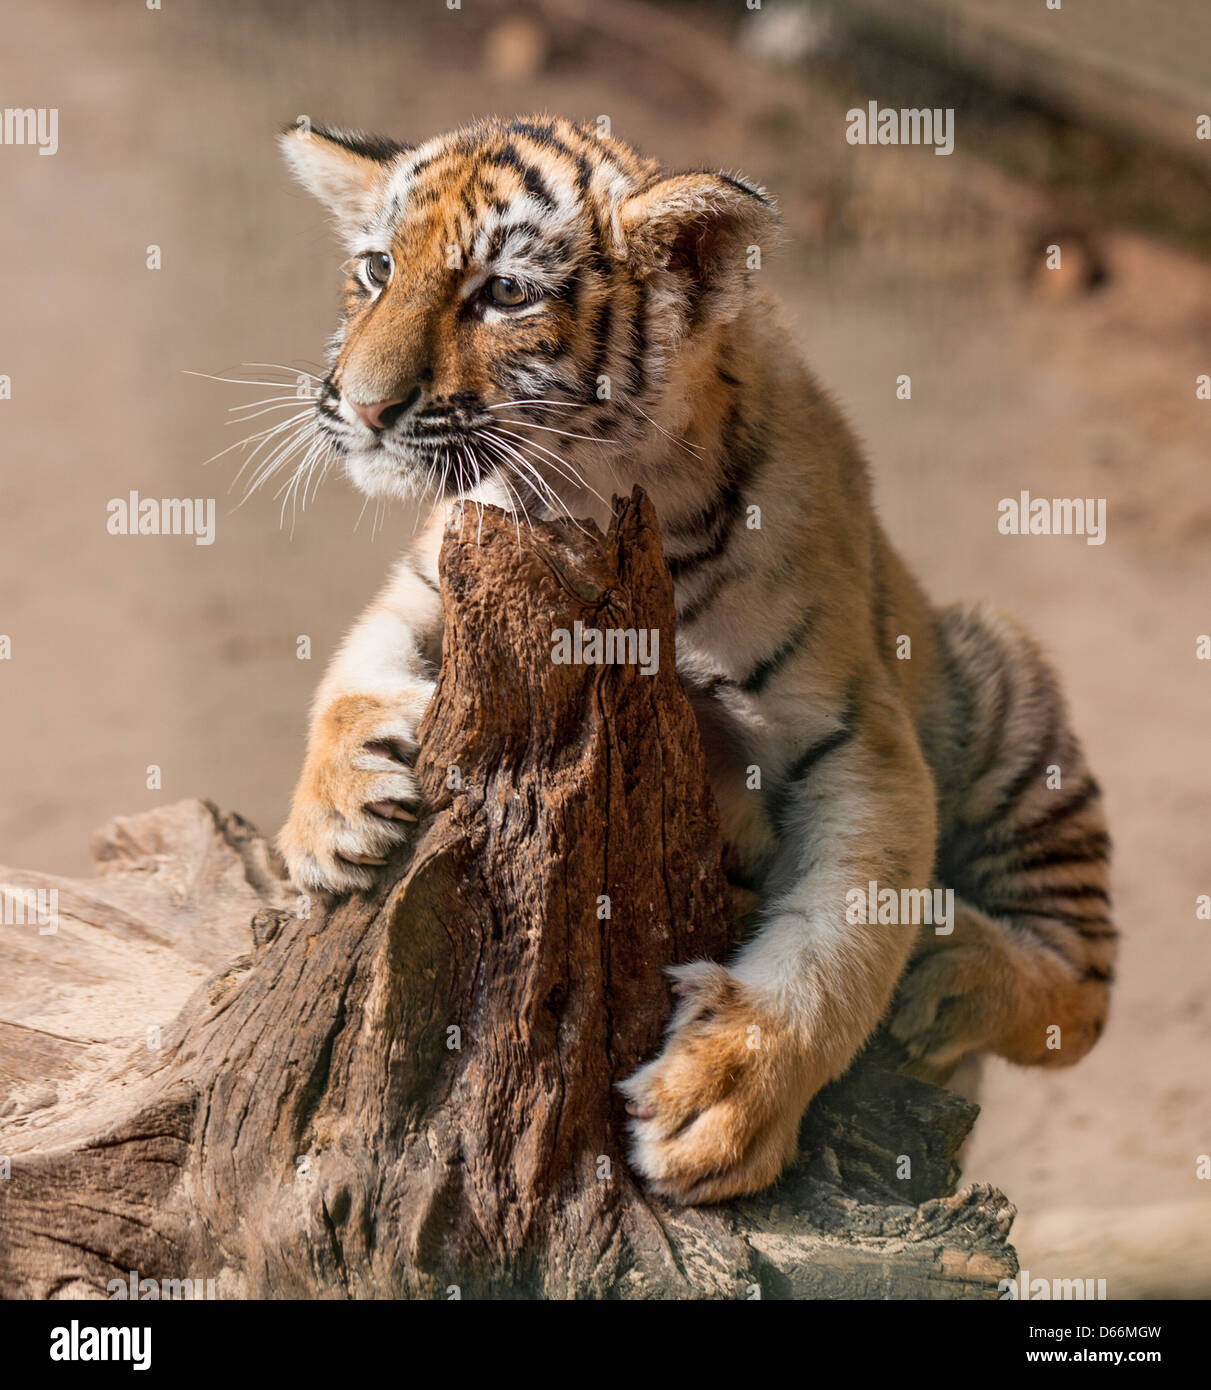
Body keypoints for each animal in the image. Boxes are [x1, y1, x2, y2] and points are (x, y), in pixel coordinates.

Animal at [274, 115, 1115, 1205]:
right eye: (376, 269)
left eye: (504, 294)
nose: (359, 407)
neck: (593, 496)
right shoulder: (432, 577)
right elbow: (345, 669)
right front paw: (328, 824)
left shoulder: (857, 740)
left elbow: (841, 934)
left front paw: (719, 1100)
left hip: (1005, 686)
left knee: (1083, 994)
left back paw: (948, 967)